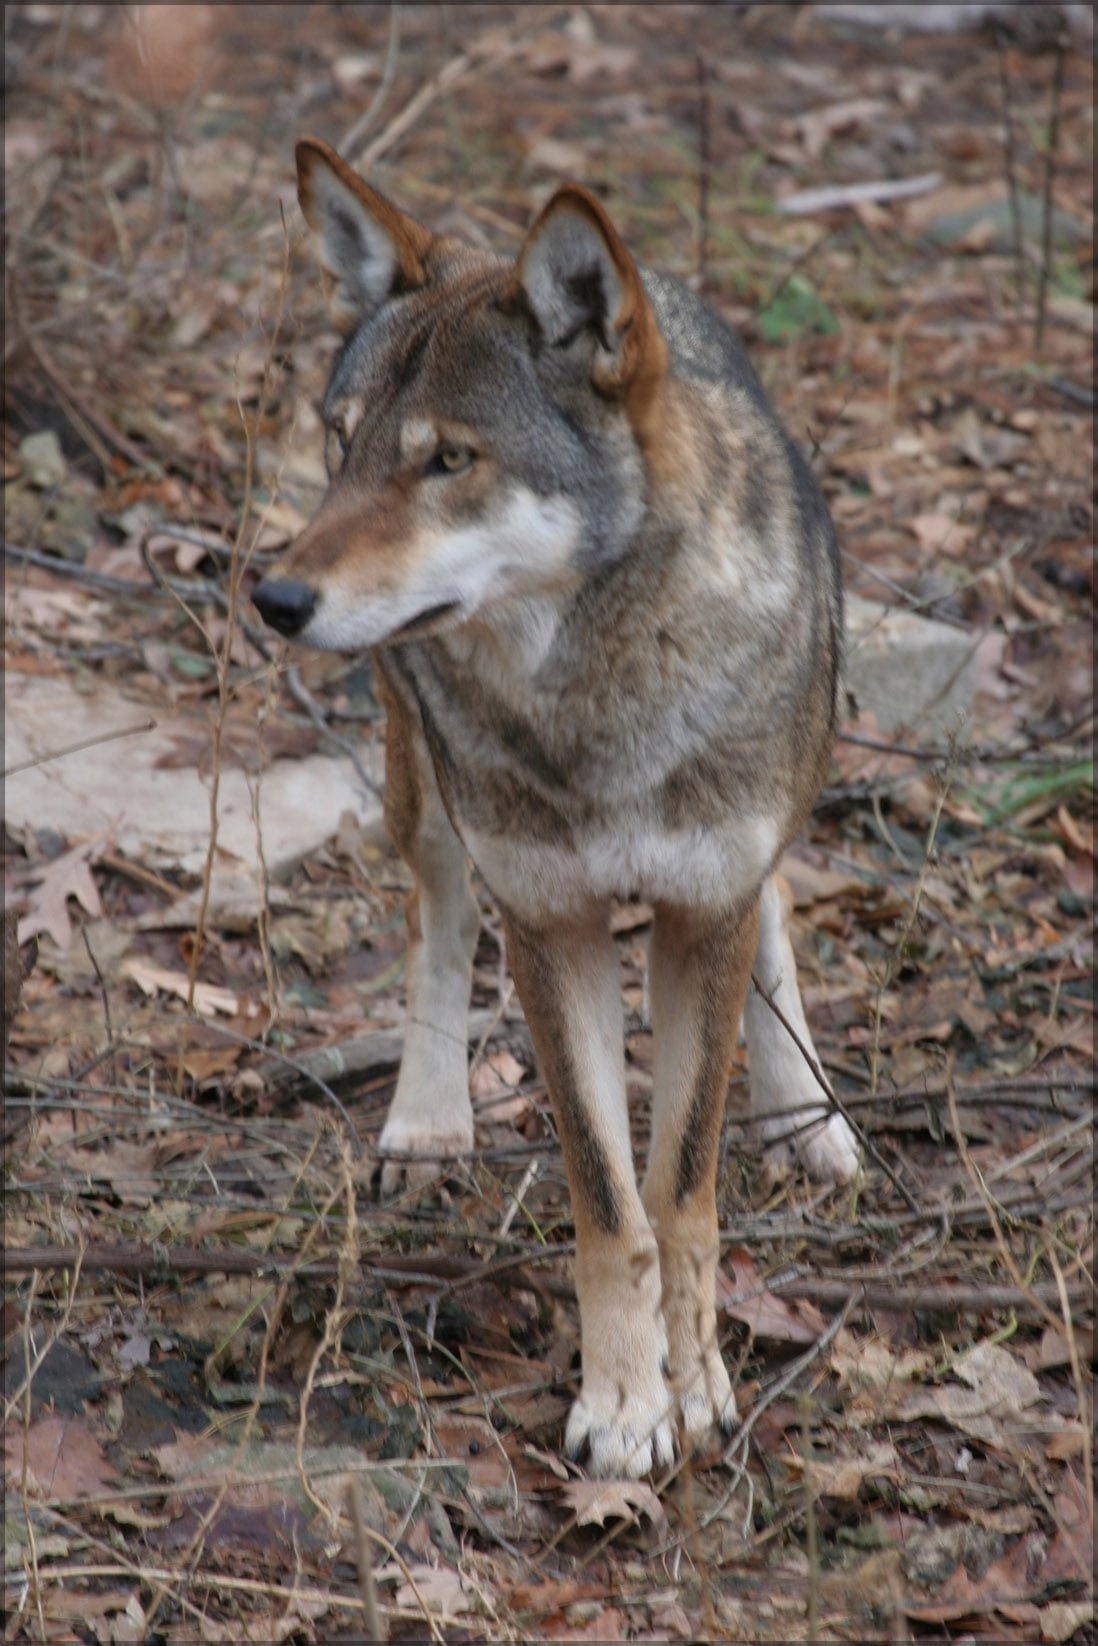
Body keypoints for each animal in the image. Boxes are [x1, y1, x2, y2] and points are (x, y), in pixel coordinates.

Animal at [253, 137, 860, 1479]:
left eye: (448, 459)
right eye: (340, 441)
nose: (274, 595)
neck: (598, 703)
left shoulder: (700, 908)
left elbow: (680, 1191)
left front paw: (696, 1386)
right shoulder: (554, 926)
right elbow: (609, 1203)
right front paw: (625, 1404)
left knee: (779, 907)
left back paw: (807, 1113)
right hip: (421, 776)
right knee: (436, 923)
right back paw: (427, 1122)